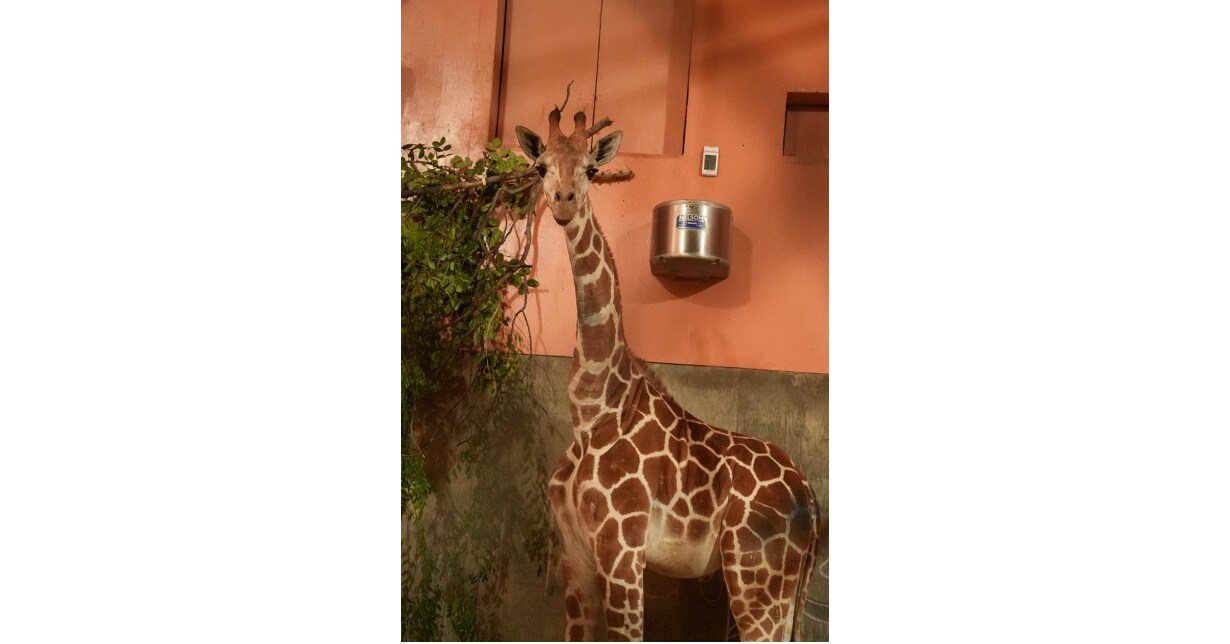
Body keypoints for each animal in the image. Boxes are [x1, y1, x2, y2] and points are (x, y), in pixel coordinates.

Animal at [516, 107, 820, 642]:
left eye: (591, 169)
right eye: (540, 167)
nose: (564, 202)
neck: (592, 408)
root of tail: (809, 493)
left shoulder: (622, 548)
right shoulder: (575, 553)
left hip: (756, 577)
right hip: (781, 589)